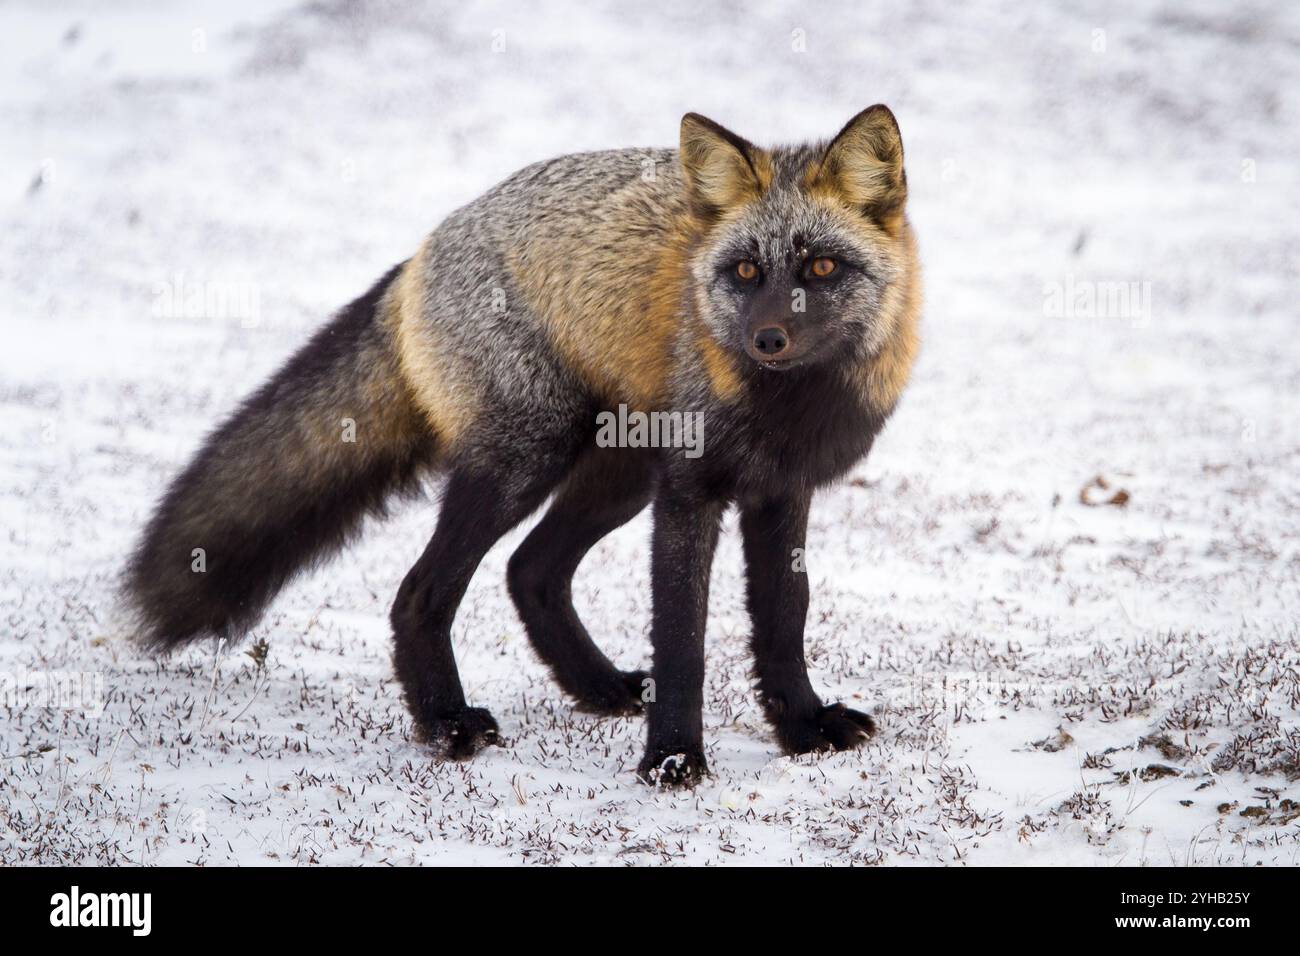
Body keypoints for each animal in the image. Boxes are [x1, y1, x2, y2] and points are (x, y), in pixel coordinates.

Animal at [125, 106, 921, 785]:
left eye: (821, 269)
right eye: (748, 272)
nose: (768, 340)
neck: (784, 410)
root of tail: (423, 250)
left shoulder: (782, 493)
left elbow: (786, 616)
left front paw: (803, 727)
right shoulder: (688, 492)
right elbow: (682, 639)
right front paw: (671, 761)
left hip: (615, 476)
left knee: (529, 569)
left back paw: (597, 687)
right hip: (525, 460)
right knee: (422, 591)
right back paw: (448, 724)